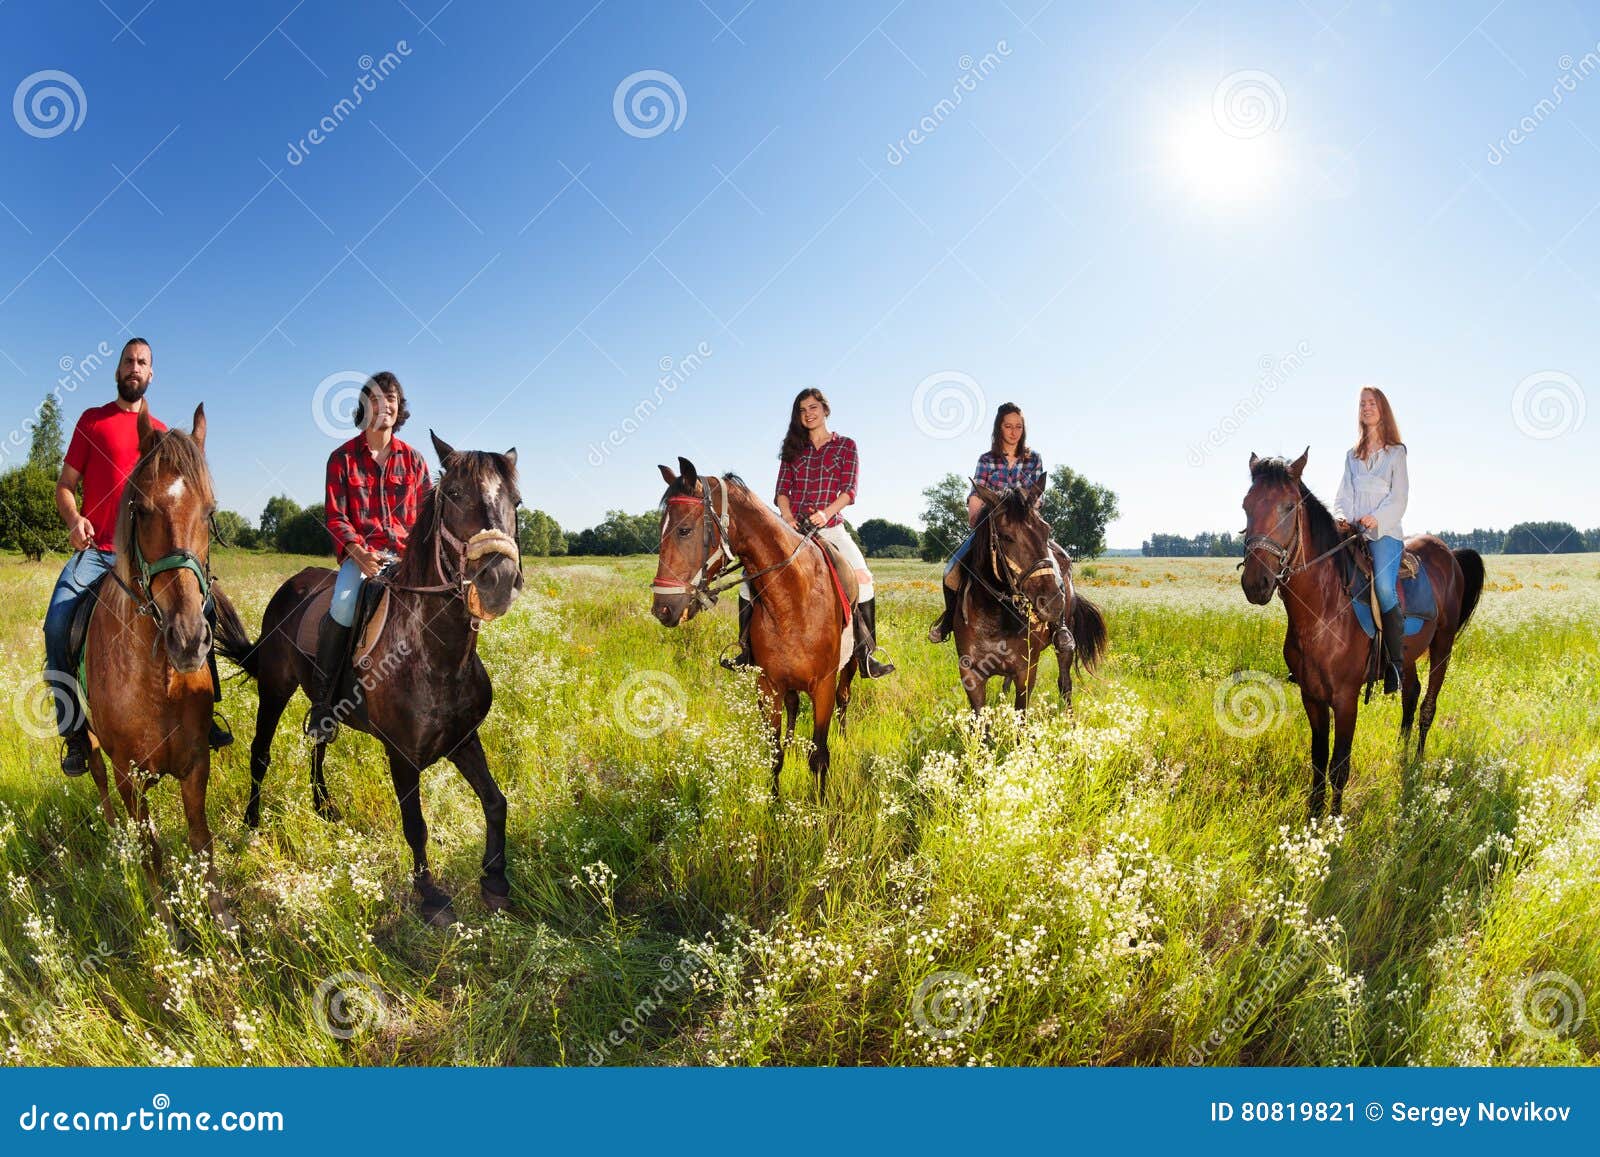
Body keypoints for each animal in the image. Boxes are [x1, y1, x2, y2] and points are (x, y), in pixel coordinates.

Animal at [214, 433, 522, 926]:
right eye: (455, 494)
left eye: (516, 501)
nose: (499, 580)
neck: (437, 656)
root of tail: (291, 587)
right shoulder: (403, 756)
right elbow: (416, 825)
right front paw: (430, 895)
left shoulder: (463, 739)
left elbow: (496, 802)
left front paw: (495, 881)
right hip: (274, 689)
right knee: (260, 754)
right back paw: (251, 826)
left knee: (318, 745)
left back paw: (324, 808)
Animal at [651, 458, 856, 800]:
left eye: (684, 530)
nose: (662, 610)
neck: (792, 601)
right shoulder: (768, 685)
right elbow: (774, 753)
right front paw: (774, 803)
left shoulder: (823, 687)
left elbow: (819, 755)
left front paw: (820, 805)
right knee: (793, 706)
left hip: (848, 669)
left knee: (845, 698)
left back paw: (843, 737)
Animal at [951, 478, 1107, 712]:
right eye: (1006, 536)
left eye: (1046, 530)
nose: (1052, 602)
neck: (994, 616)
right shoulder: (970, 674)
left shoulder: (1026, 671)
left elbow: (1021, 712)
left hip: (1065, 644)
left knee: (1065, 683)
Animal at [1240, 449, 1485, 818]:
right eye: (1246, 505)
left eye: (1289, 506)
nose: (1256, 583)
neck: (1322, 609)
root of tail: (1449, 554)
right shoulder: (1311, 697)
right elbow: (1318, 760)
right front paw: (1312, 817)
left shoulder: (1345, 699)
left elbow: (1339, 765)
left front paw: (1333, 823)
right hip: (1405, 658)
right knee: (1411, 694)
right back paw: (1400, 755)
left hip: (1442, 647)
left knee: (1427, 706)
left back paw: (1416, 764)